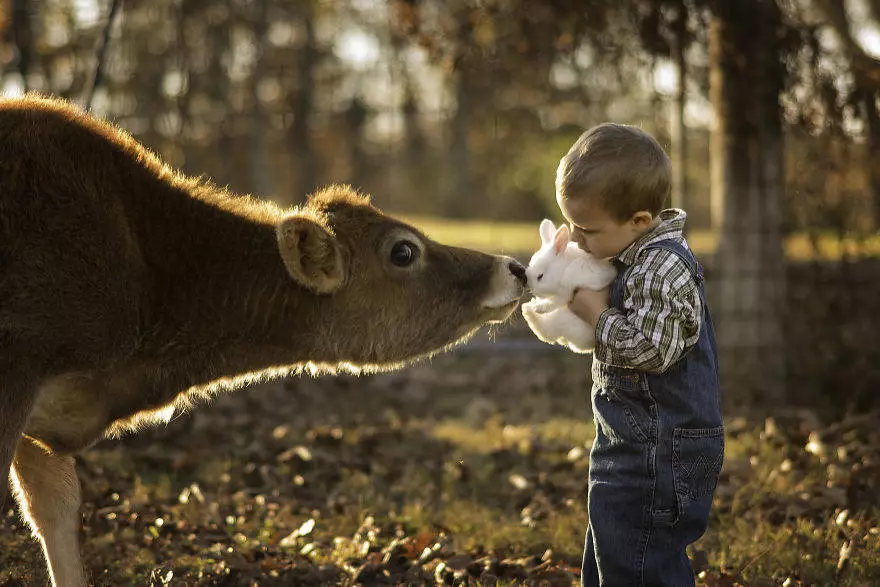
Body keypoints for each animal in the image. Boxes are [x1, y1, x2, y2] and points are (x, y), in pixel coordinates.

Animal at [524, 219, 620, 354]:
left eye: (540, 276)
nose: (533, 291)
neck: (564, 267)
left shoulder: (566, 292)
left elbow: (554, 303)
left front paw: (539, 307)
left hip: (562, 319)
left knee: (547, 333)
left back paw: (528, 309)